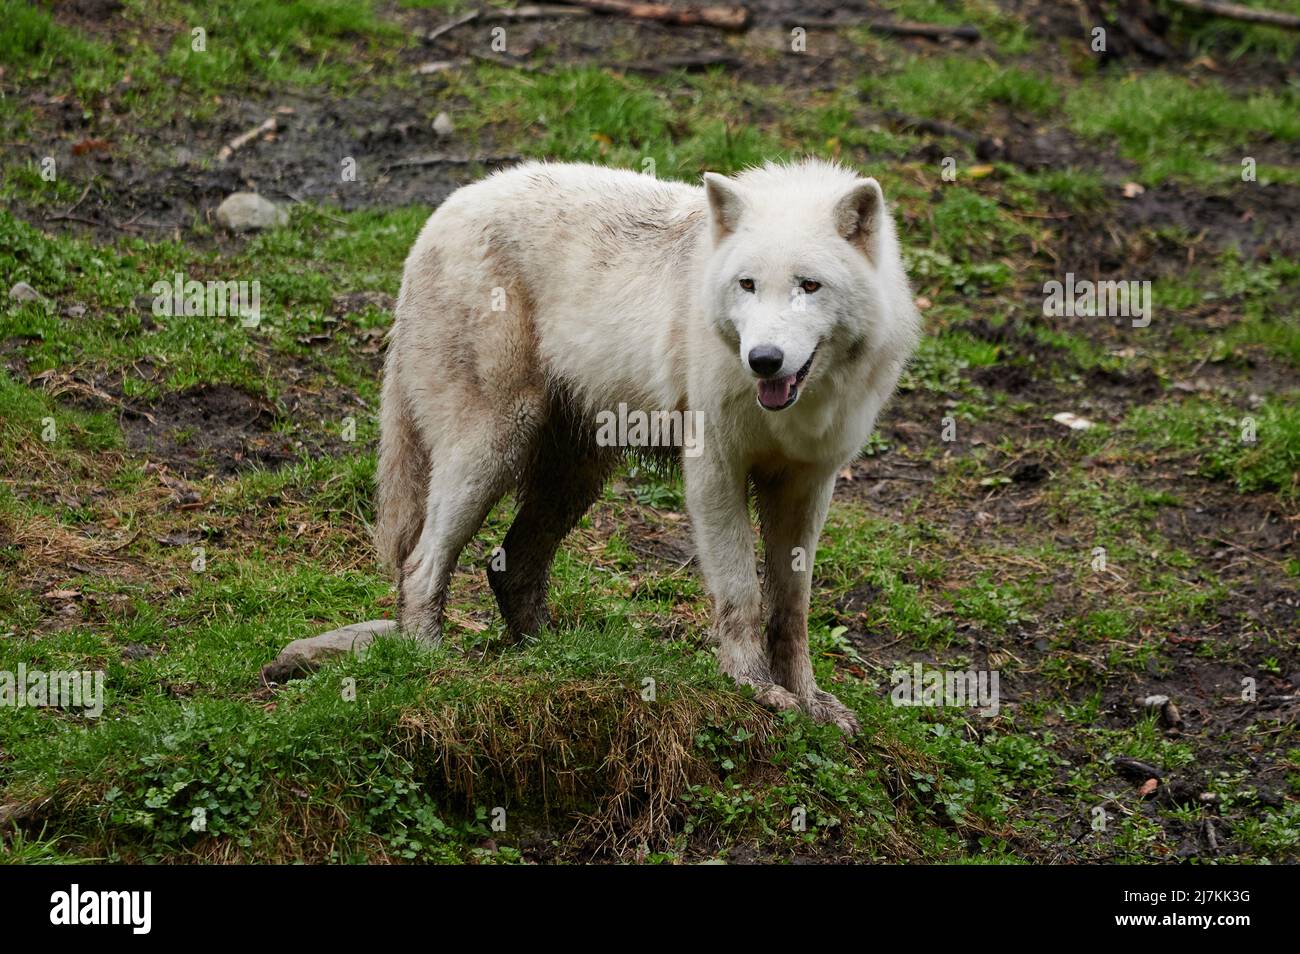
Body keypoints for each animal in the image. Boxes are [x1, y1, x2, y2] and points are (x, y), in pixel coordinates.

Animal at [376, 159, 920, 732]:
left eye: (809, 286)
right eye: (747, 284)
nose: (763, 359)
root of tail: (442, 214)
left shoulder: (808, 484)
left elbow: (792, 609)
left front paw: (810, 700)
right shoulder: (715, 471)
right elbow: (741, 594)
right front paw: (755, 687)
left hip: (579, 472)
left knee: (510, 565)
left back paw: (556, 659)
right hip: (494, 447)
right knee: (420, 563)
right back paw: (430, 660)